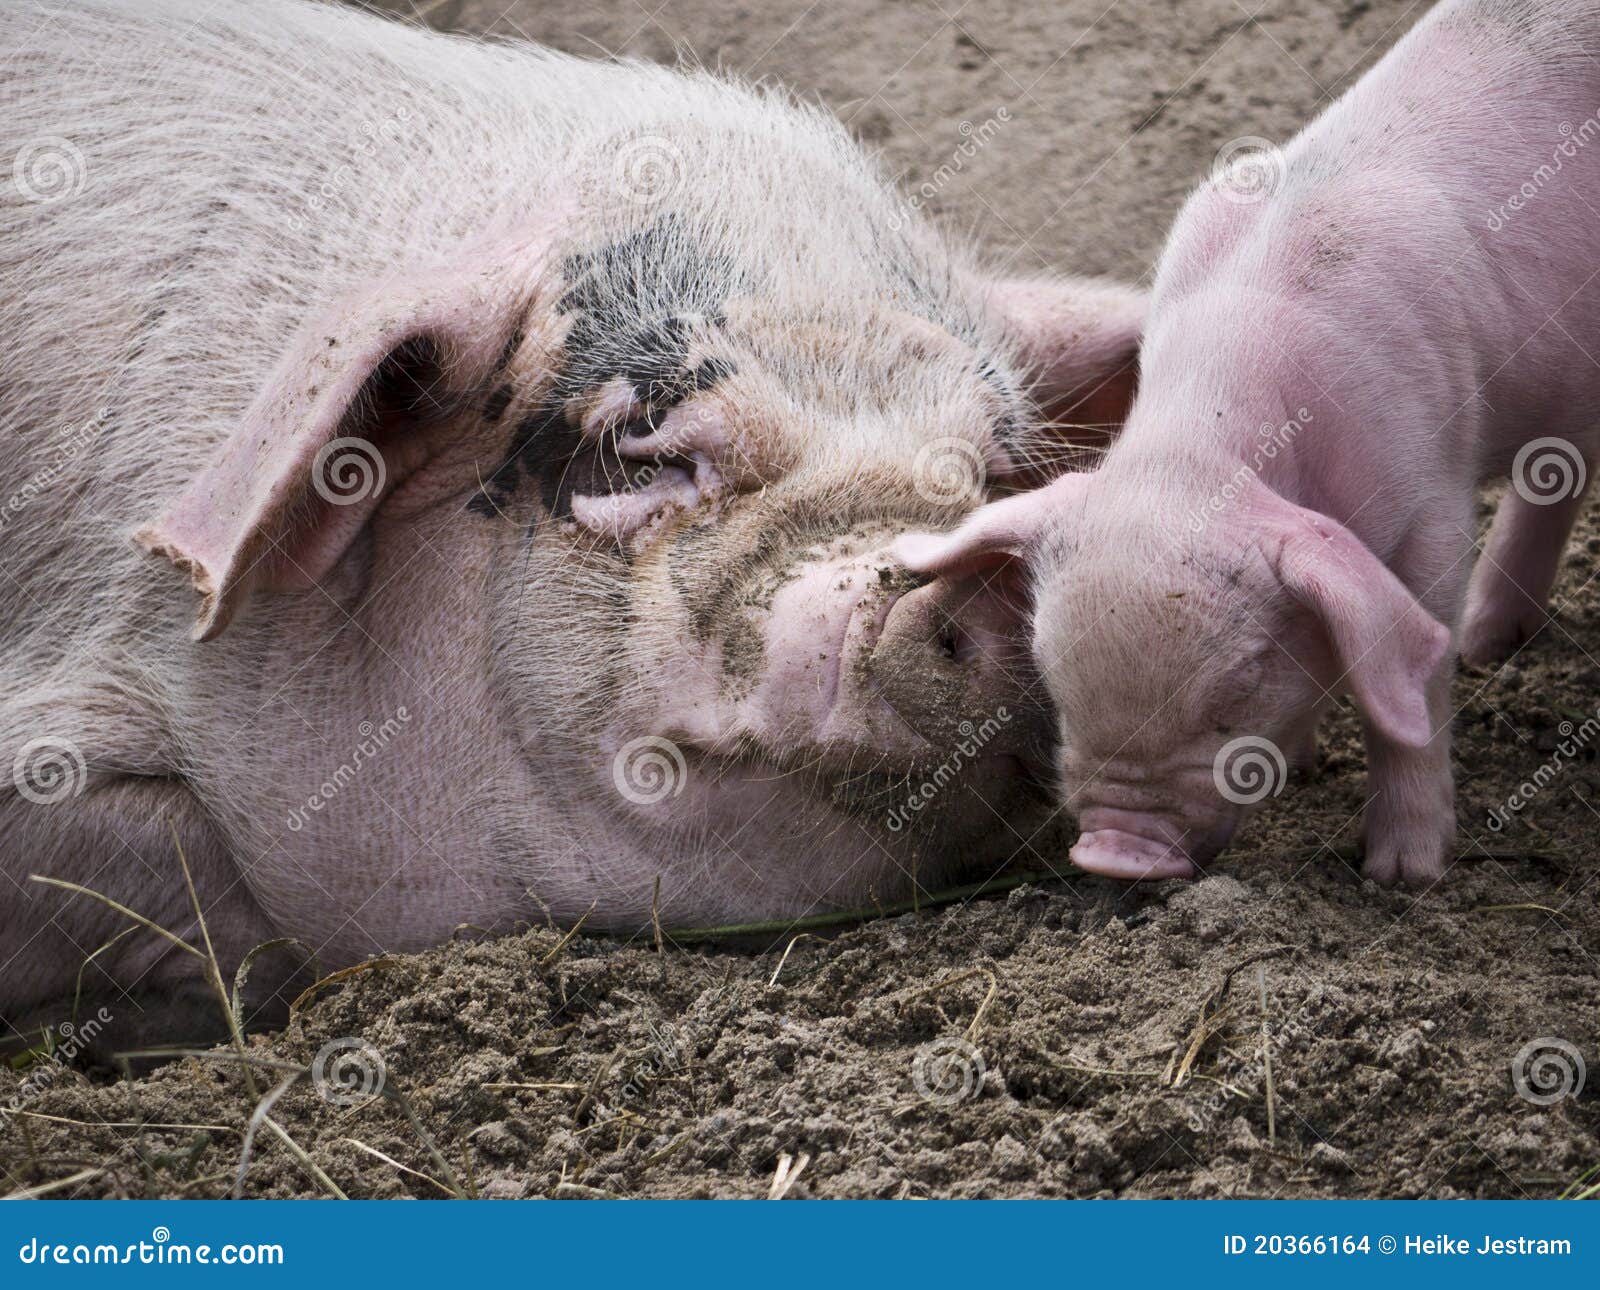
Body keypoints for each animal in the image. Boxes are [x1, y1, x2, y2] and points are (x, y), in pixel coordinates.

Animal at [899, 0, 1600, 888]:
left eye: (1243, 680)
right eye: (1054, 678)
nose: (1114, 852)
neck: (1201, 453)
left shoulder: (1432, 492)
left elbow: (1411, 688)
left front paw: (1402, 877)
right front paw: (1301, 765)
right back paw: (1490, 644)